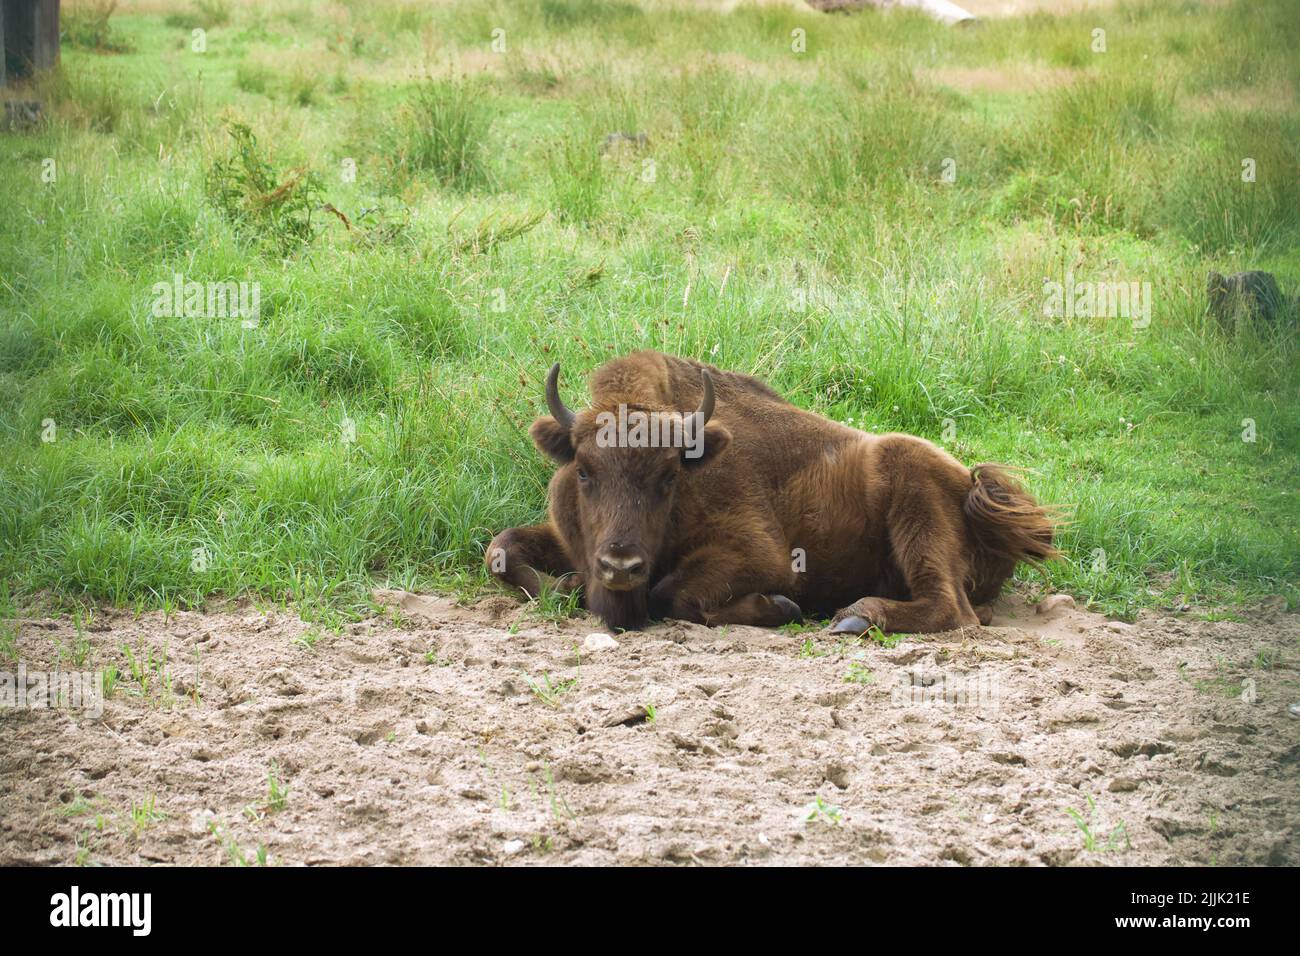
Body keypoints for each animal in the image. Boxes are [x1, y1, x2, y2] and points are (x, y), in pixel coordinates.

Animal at [487, 351, 1058, 634]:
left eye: (669, 476)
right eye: (584, 471)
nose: (620, 566)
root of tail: (968, 482)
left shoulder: (762, 554)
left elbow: (672, 592)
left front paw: (780, 607)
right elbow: (502, 549)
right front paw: (564, 586)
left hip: (916, 508)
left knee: (951, 608)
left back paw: (854, 617)